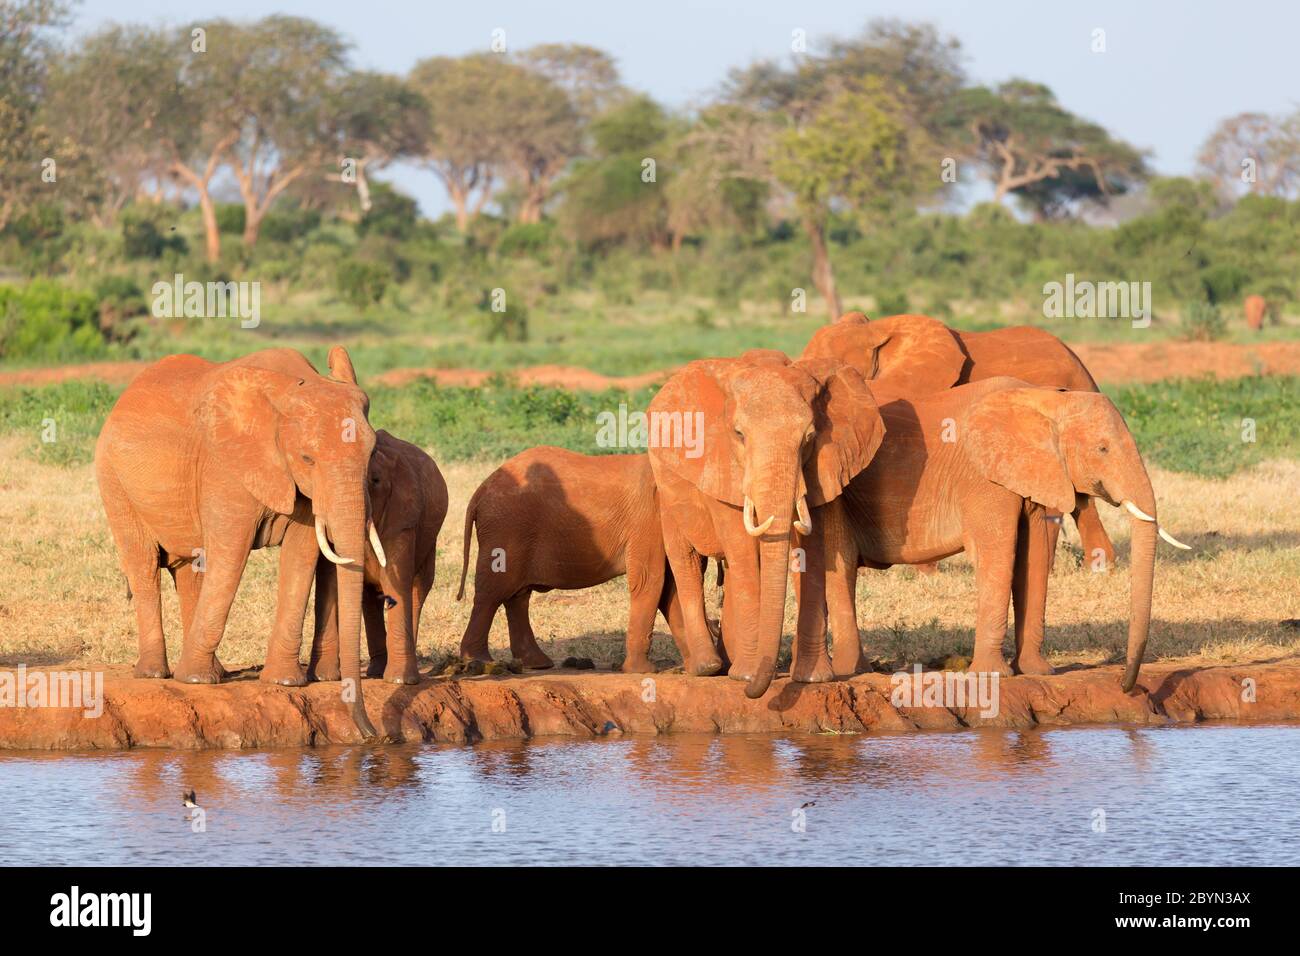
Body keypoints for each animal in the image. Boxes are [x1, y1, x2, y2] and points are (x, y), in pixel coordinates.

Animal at [94, 346, 383, 736]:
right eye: (307, 458)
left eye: (372, 454)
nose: (371, 733)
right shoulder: (226, 467)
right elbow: (232, 553)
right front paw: (196, 682)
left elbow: (302, 554)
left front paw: (284, 682)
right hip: (114, 480)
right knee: (144, 566)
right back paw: (160, 674)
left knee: (191, 569)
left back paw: (210, 671)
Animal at [309, 427, 448, 686]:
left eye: (375, 481)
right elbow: (332, 577)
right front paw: (324, 678)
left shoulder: (403, 518)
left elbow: (398, 583)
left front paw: (400, 681)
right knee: (369, 597)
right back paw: (375, 671)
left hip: (429, 543)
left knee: (417, 590)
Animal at [456, 447, 709, 672]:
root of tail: (480, 490)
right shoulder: (647, 521)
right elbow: (650, 581)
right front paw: (645, 671)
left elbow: (669, 589)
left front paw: (697, 667)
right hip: (506, 529)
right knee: (492, 594)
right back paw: (480, 661)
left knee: (517, 597)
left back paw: (537, 664)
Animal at [648, 349, 884, 698]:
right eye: (739, 435)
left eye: (809, 437)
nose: (753, 690)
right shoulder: (721, 467)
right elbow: (742, 547)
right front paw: (746, 677)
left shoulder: (826, 464)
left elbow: (814, 549)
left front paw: (812, 679)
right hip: (665, 487)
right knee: (686, 560)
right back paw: (708, 668)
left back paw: (727, 663)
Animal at [810, 377, 1189, 689]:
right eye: (1103, 449)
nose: (1127, 685)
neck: (1045, 399)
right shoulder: (986, 478)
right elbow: (998, 556)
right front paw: (993, 675)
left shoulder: (1031, 473)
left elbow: (1033, 558)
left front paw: (1039, 672)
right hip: (833, 486)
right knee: (842, 565)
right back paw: (852, 672)